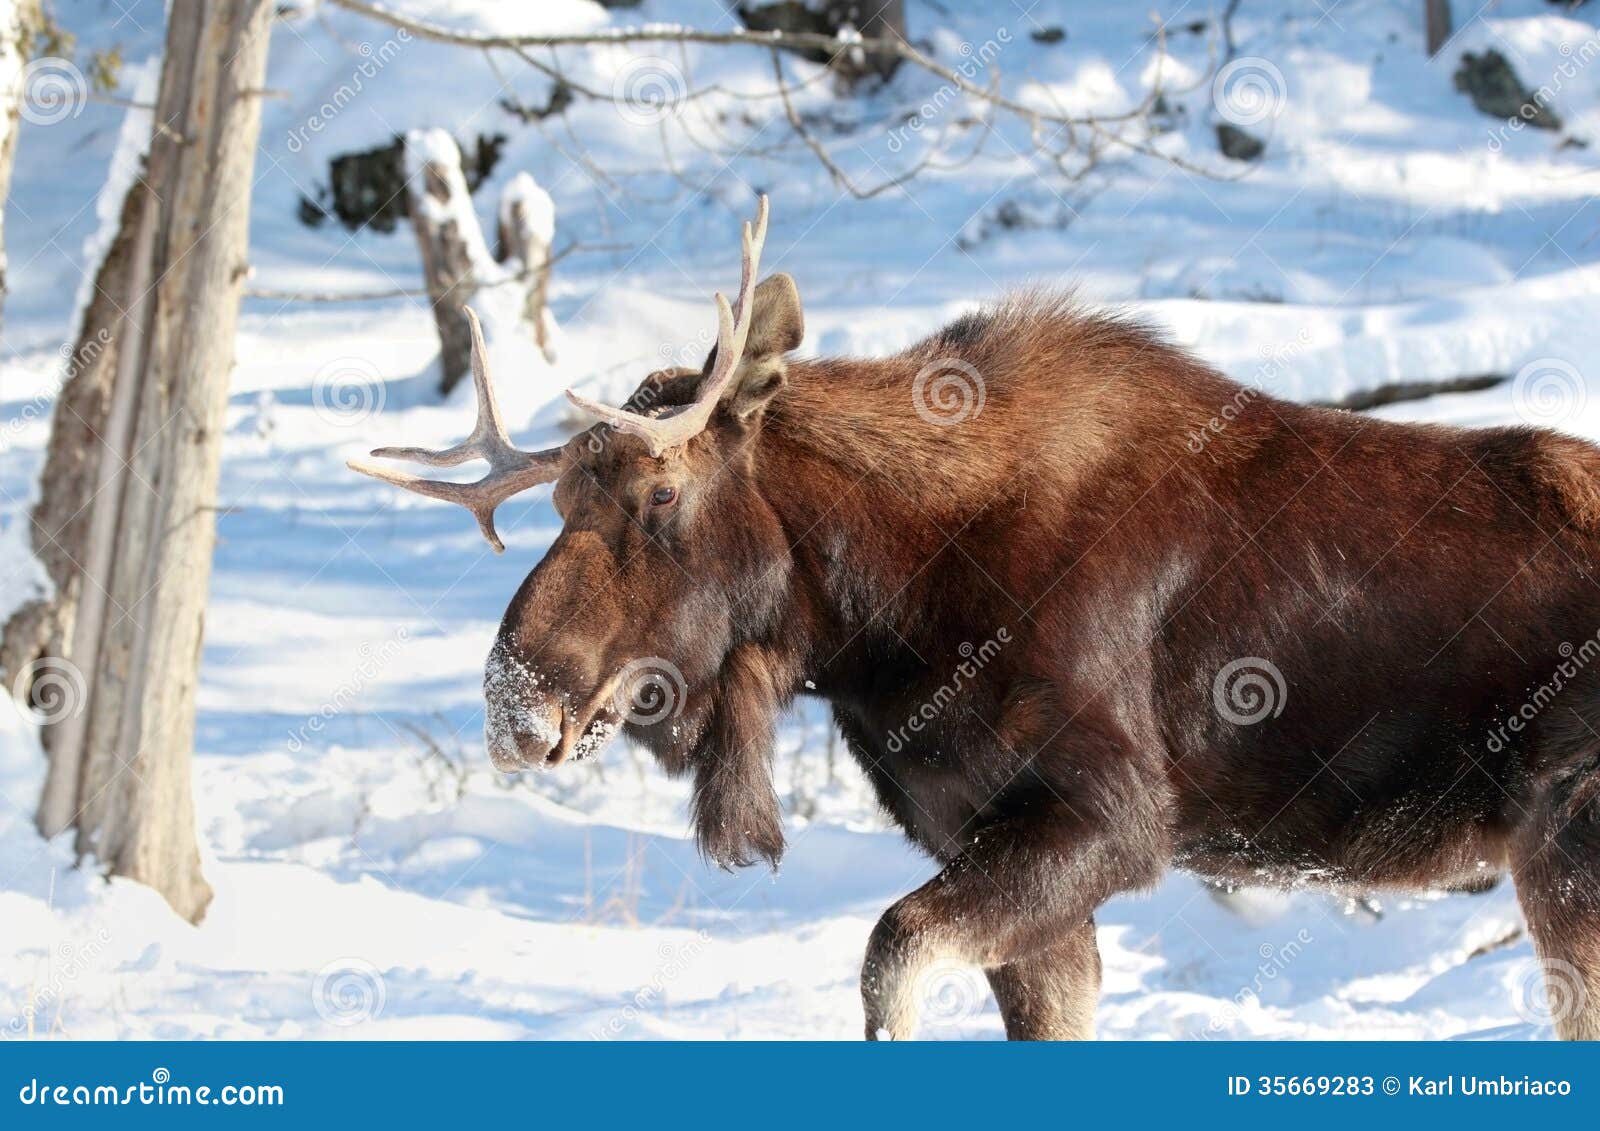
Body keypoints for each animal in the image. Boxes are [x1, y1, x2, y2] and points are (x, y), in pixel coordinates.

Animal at [352, 197, 1600, 1040]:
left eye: (661, 496)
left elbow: (888, 960)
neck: (878, 615)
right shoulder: (992, 848)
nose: (515, 702)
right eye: (560, 502)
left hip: (1565, 848)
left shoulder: (1111, 819)